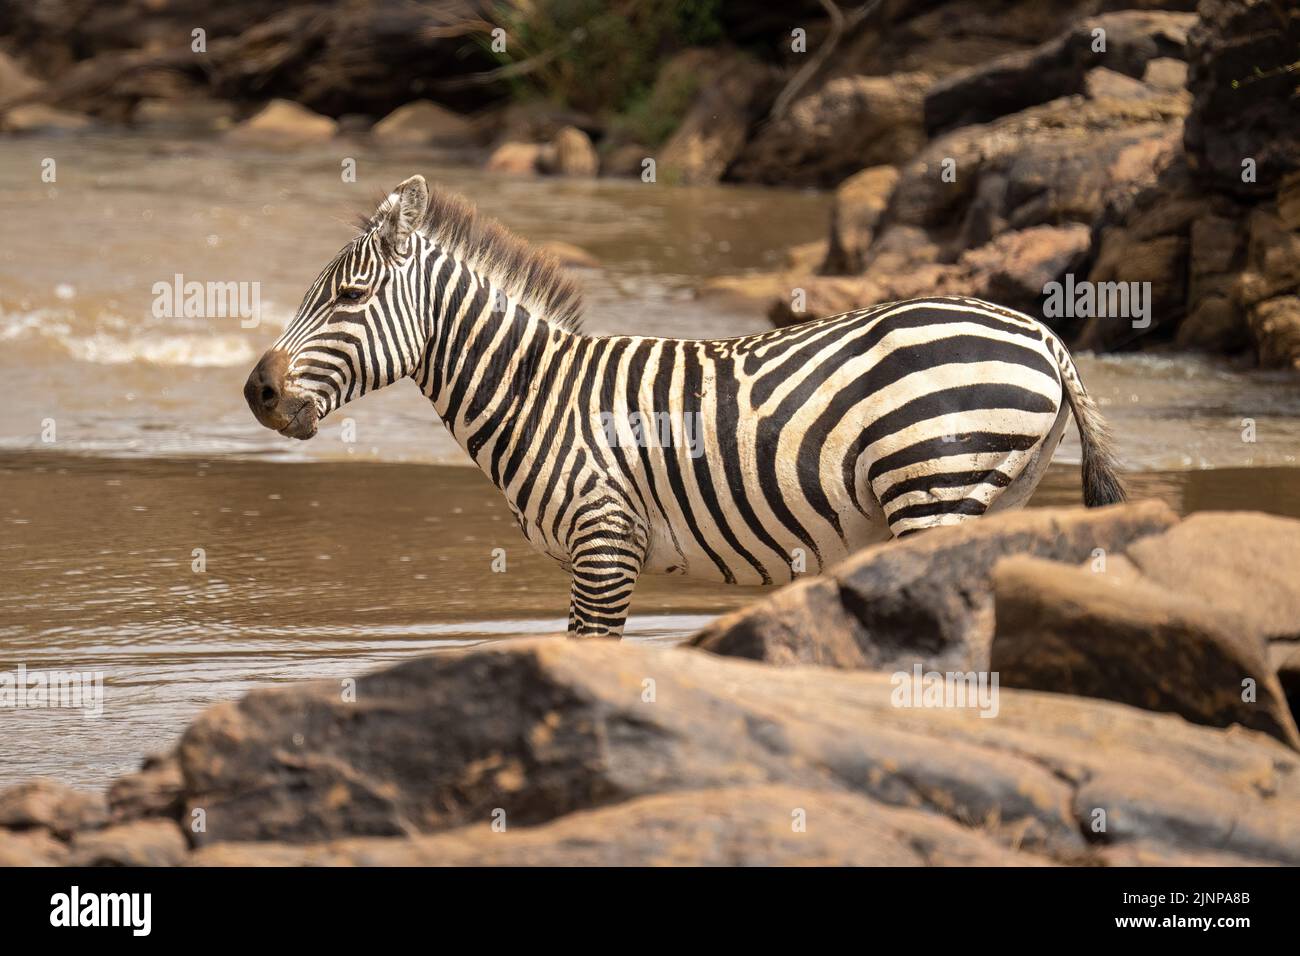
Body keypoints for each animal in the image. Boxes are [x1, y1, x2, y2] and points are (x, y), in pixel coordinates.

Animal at [245, 175, 1125, 638]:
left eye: (351, 296)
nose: (258, 393)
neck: (537, 393)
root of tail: (1042, 336)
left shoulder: (605, 544)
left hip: (932, 484)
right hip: (990, 494)